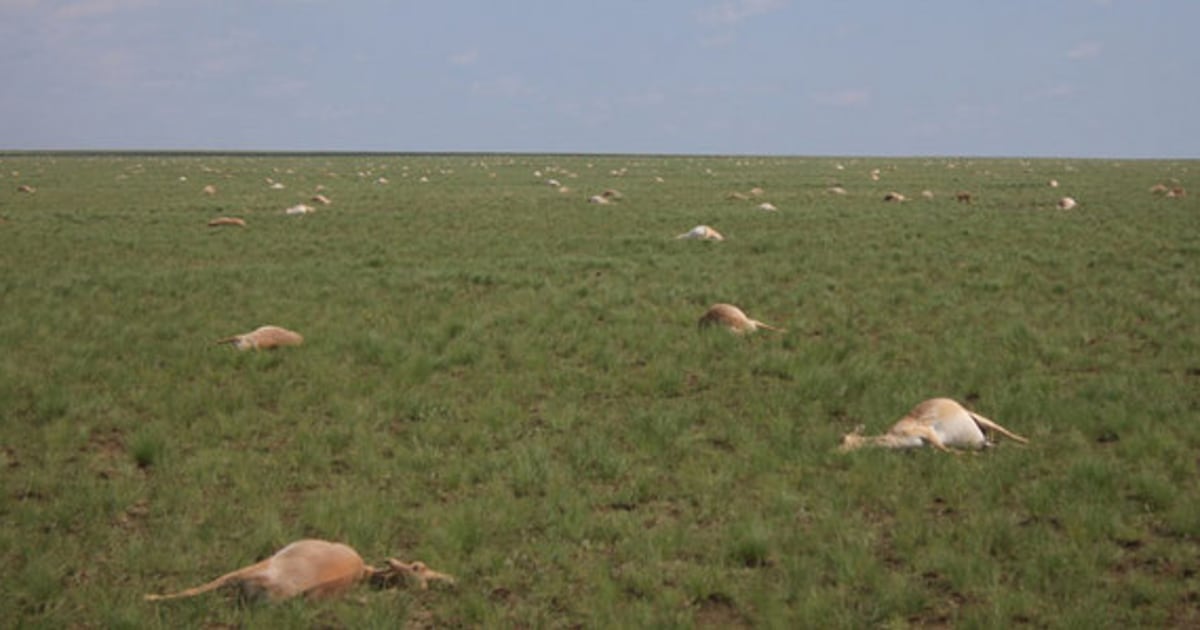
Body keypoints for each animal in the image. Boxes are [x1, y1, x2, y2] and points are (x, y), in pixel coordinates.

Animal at [839, 398, 1029, 453]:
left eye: (845, 440)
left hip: (985, 421)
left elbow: (950, 452)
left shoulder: (929, 434)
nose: (837, 452)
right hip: (988, 439)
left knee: (1011, 435)